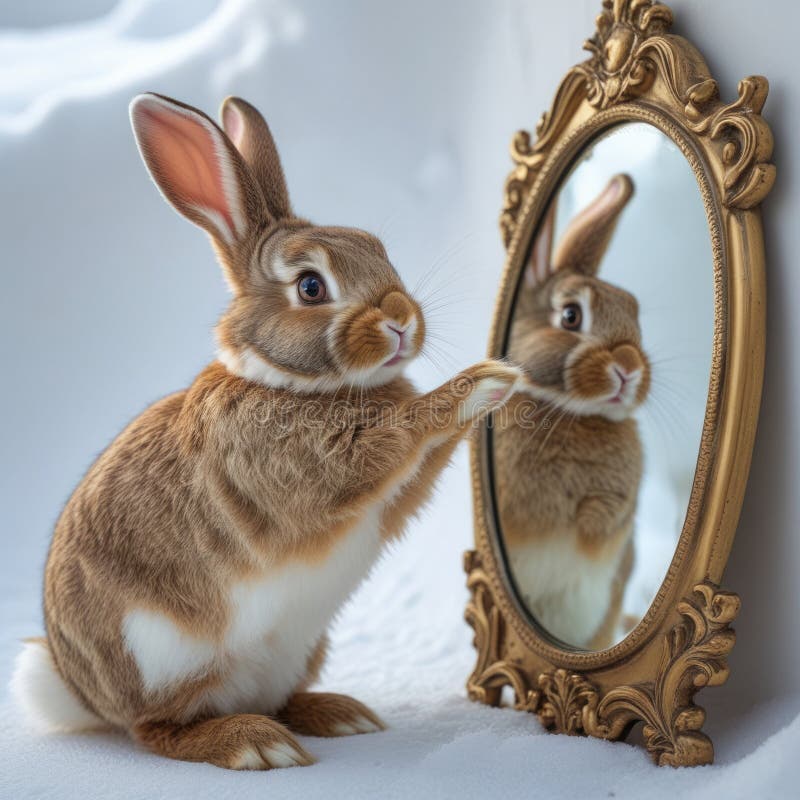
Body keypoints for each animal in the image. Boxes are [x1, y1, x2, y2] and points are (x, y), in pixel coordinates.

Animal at [10, 93, 523, 770]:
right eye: (310, 286)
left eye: (378, 248)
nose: (401, 320)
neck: (286, 382)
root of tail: (78, 691)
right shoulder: (314, 471)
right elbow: (400, 434)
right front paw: (487, 380)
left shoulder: (389, 499)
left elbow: (417, 464)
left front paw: (504, 386)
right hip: (162, 655)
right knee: (156, 729)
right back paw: (255, 745)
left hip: (299, 650)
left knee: (278, 697)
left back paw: (339, 715)